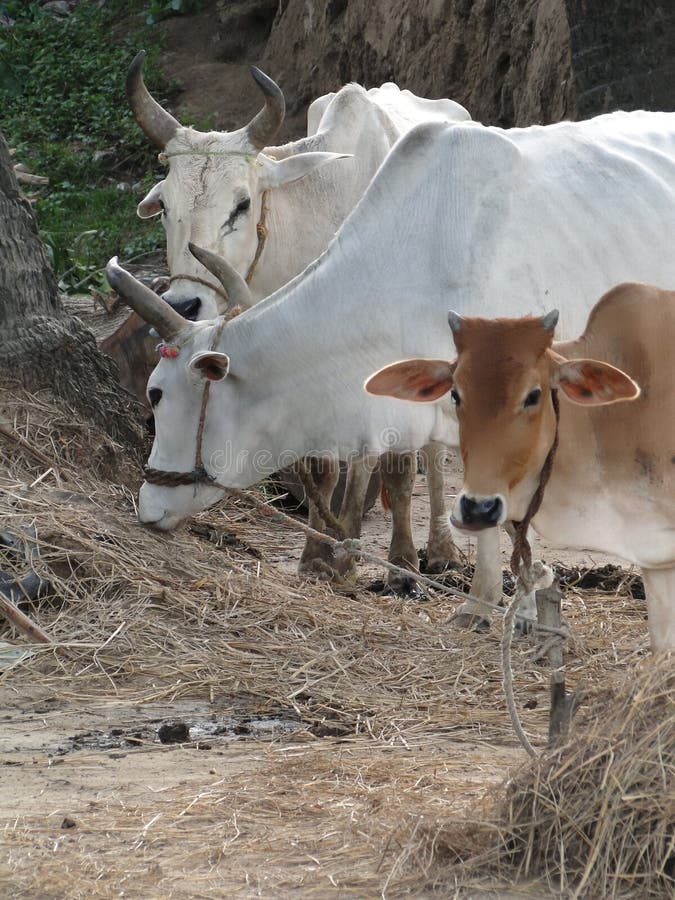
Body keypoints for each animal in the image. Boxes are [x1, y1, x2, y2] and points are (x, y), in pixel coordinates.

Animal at [127, 51, 471, 580]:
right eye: (164, 205)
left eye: (242, 203)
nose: (185, 304)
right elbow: (320, 463)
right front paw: (318, 553)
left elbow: (385, 457)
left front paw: (383, 559)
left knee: (430, 451)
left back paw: (438, 549)